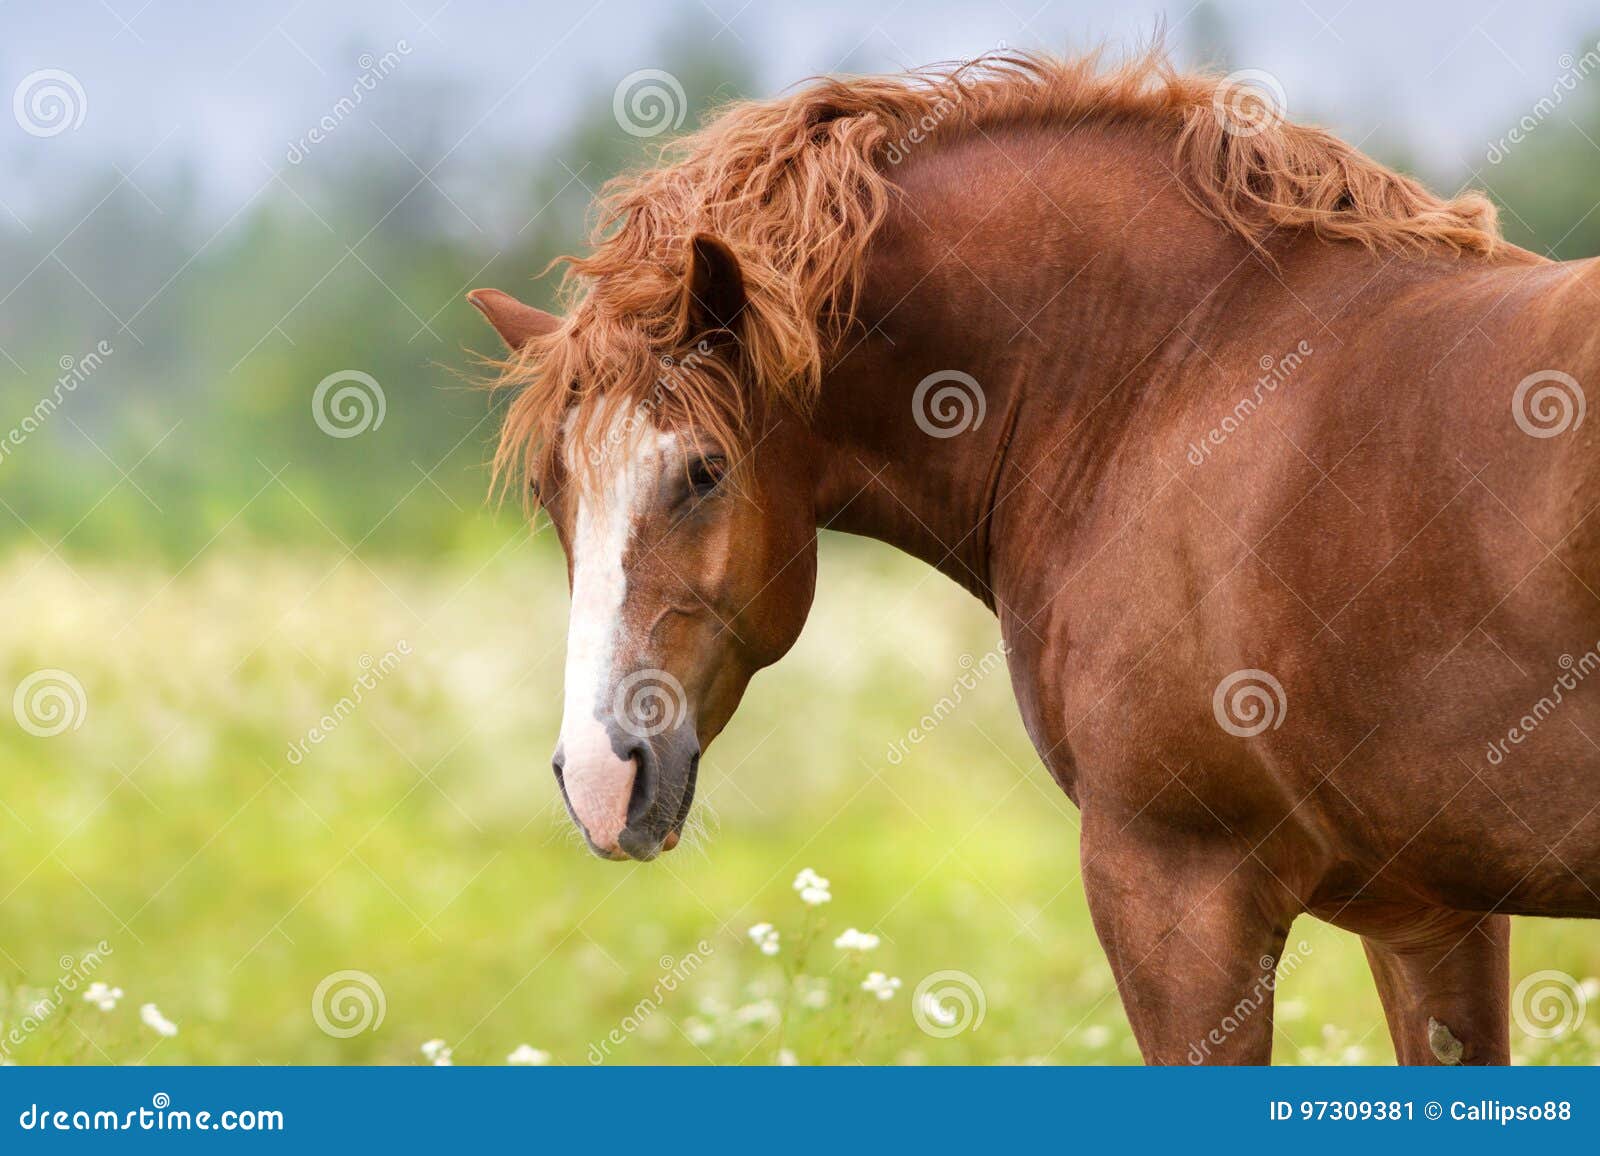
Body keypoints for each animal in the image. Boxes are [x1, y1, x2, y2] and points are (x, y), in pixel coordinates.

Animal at [467, 49, 1600, 1065]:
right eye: (551, 493)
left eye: (702, 471)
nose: (598, 779)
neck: (1173, 372)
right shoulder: (1430, 912)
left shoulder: (1177, 886)